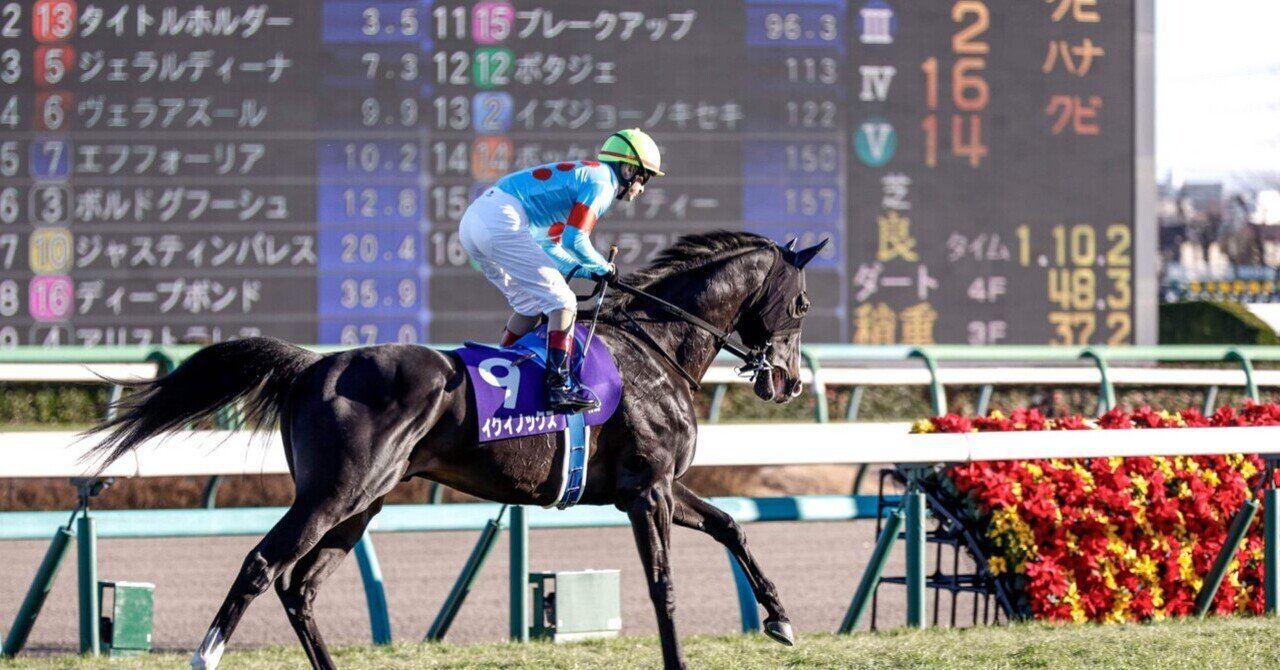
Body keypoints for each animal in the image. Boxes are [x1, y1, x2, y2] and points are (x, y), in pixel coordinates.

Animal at [84, 230, 828, 670]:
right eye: (801, 305)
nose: (786, 382)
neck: (654, 351)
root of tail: (314, 364)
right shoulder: (646, 491)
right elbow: (663, 585)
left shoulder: (654, 488)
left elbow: (731, 525)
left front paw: (781, 619)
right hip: (335, 494)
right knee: (264, 565)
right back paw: (205, 656)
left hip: (363, 504)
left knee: (301, 587)